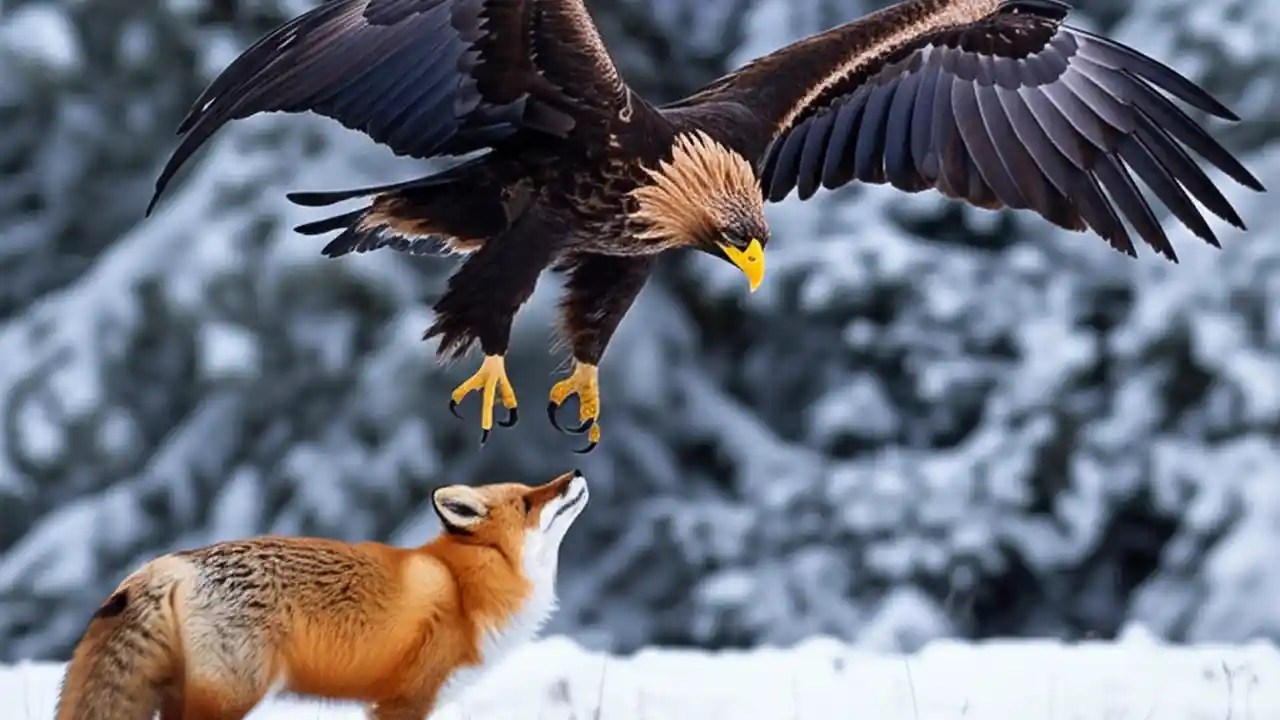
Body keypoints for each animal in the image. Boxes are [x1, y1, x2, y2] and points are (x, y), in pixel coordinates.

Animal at [54, 469, 590, 720]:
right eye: (528, 501)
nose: (575, 472)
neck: (463, 586)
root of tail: (171, 561)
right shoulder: (404, 700)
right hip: (231, 697)